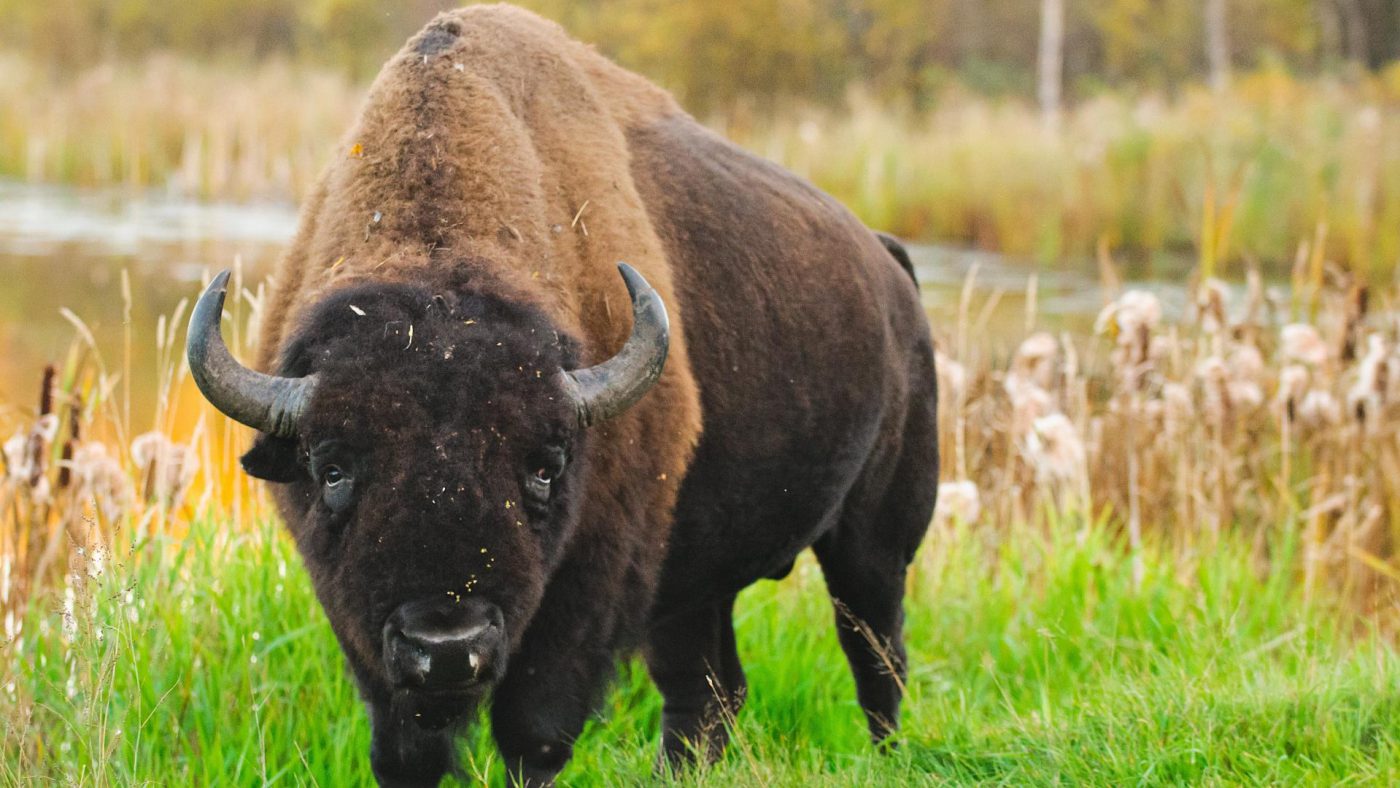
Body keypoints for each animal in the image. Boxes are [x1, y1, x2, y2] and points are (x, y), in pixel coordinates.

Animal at [187, 5, 938, 786]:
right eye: (332, 467)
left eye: (545, 465)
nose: (448, 646)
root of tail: (891, 266)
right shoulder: (354, 615)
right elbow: (404, 745)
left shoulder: (585, 594)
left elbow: (536, 732)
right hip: (701, 586)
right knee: (711, 691)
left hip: (874, 543)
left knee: (876, 659)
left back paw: (887, 756)